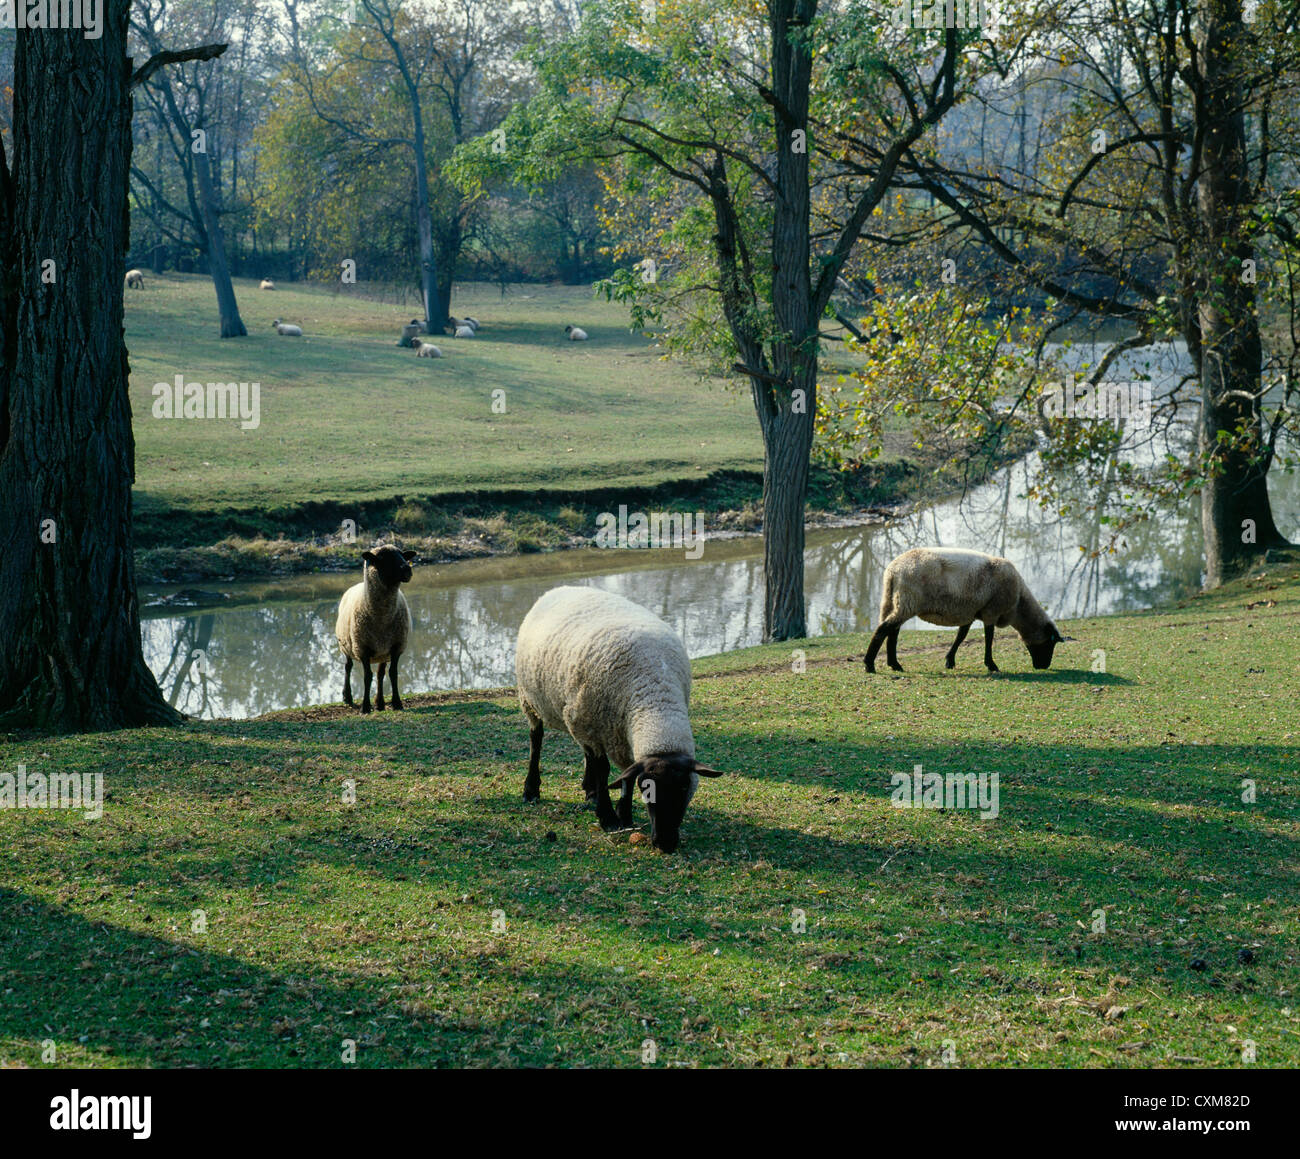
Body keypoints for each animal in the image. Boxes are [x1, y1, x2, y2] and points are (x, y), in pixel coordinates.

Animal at [335, 545, 417, 714]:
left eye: (402, 555)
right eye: (382, 558)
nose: (407, 569)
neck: (382, 619)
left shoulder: (396, 646)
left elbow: (392, 674)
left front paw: (397, 703)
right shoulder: (362, 648)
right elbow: (367, 676)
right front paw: (365, 707)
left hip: (382, 652)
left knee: (380, 674)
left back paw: (380, 703)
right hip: (347, 646)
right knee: (348, 667)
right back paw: (348, 697)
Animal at [515, 585, 722, 853]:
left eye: (685, 787)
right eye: (647, 788)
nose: (665, 843)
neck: (654, 697)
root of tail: (561, 588)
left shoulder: (620, 733)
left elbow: (627, 774)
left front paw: (624, 814)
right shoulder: (596, 725)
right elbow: (605, 770)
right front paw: (608, 818)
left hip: (583, 720)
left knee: (586, 753)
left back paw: (589, 790)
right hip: (534, 701)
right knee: (537, 740)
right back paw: (532, 789)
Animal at [865, 547, 1065, 675]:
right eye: (1050, 643)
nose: (1043, 666)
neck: (1018, 606)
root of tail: (893, 570)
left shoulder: (970, 612)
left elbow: (961, 635)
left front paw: (949, 661)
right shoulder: (991, 611)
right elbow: (989, 638)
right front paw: (991, 665)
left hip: (894, 601)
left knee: (892, 631)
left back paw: (894, 664)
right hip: (908, 601)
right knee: (883, 629)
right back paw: (869, 665)